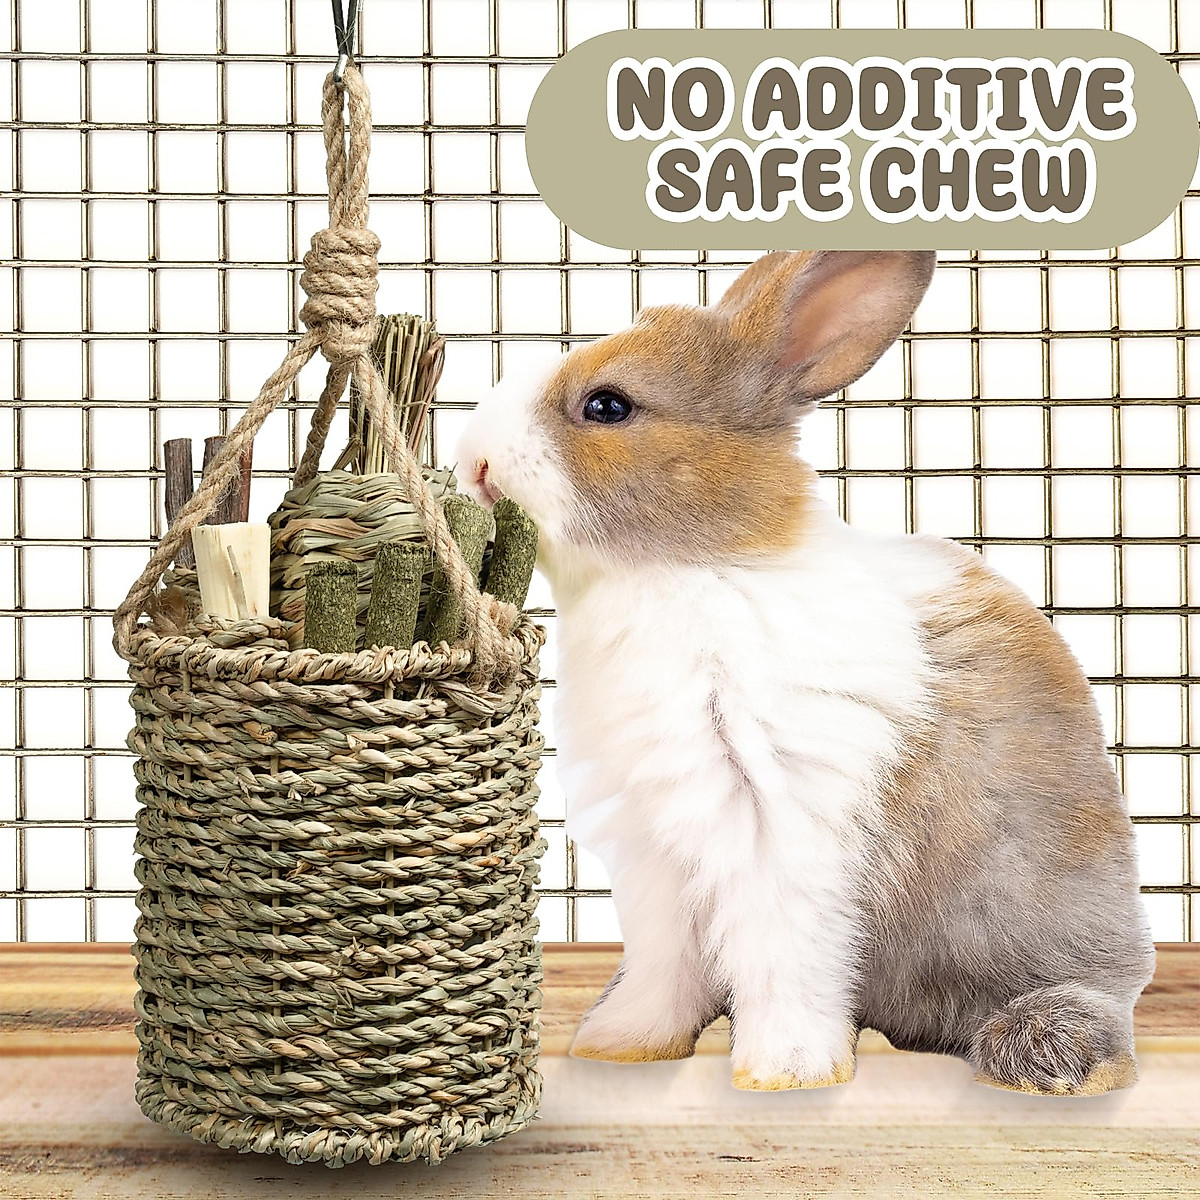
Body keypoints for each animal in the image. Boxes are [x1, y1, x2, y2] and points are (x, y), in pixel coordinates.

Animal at [455, 249, 1155, 1095]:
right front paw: (621, 1044)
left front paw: (785, 1072)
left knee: (1097, 998)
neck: (692, 569)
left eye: (608, 405)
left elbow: (782, 960)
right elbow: (664, 967)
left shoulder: (777, 827)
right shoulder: (656, 854)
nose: (472, 461)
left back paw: (1048, 1047)